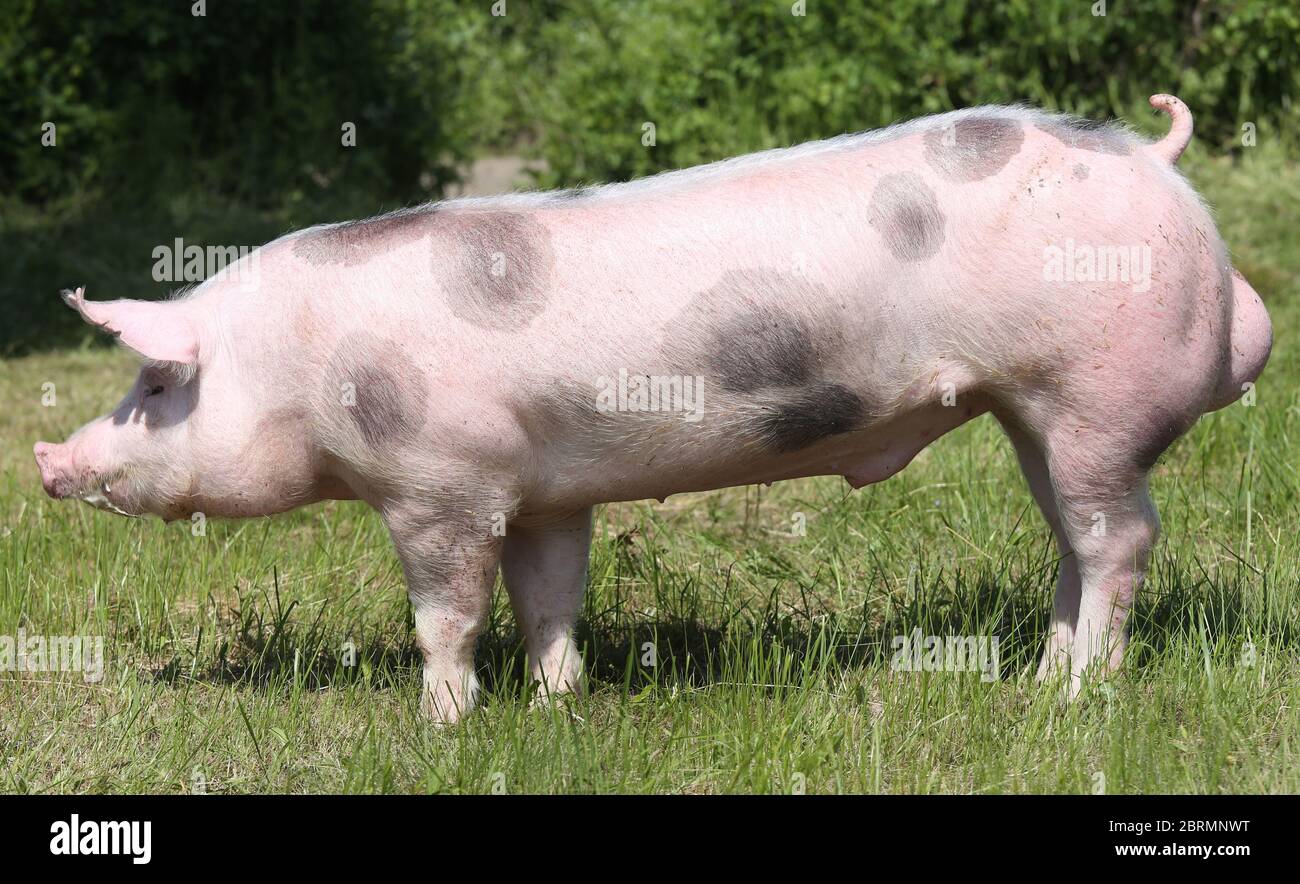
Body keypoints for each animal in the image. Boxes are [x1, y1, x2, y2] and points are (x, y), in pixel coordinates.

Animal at [34, 94, 1272, 720]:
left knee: (1121, 538)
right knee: (1070, 535)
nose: (48, 459)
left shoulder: (439, 483)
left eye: (156, 383)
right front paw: (556, 706)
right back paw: (1039, 673)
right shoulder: (540, 487)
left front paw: (442, 723)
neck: (298, 365)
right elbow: (547, 597)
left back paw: (1078, 693)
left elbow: (445, 611)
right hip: (1031, 409)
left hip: (1093, 392)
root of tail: (1157, 158)